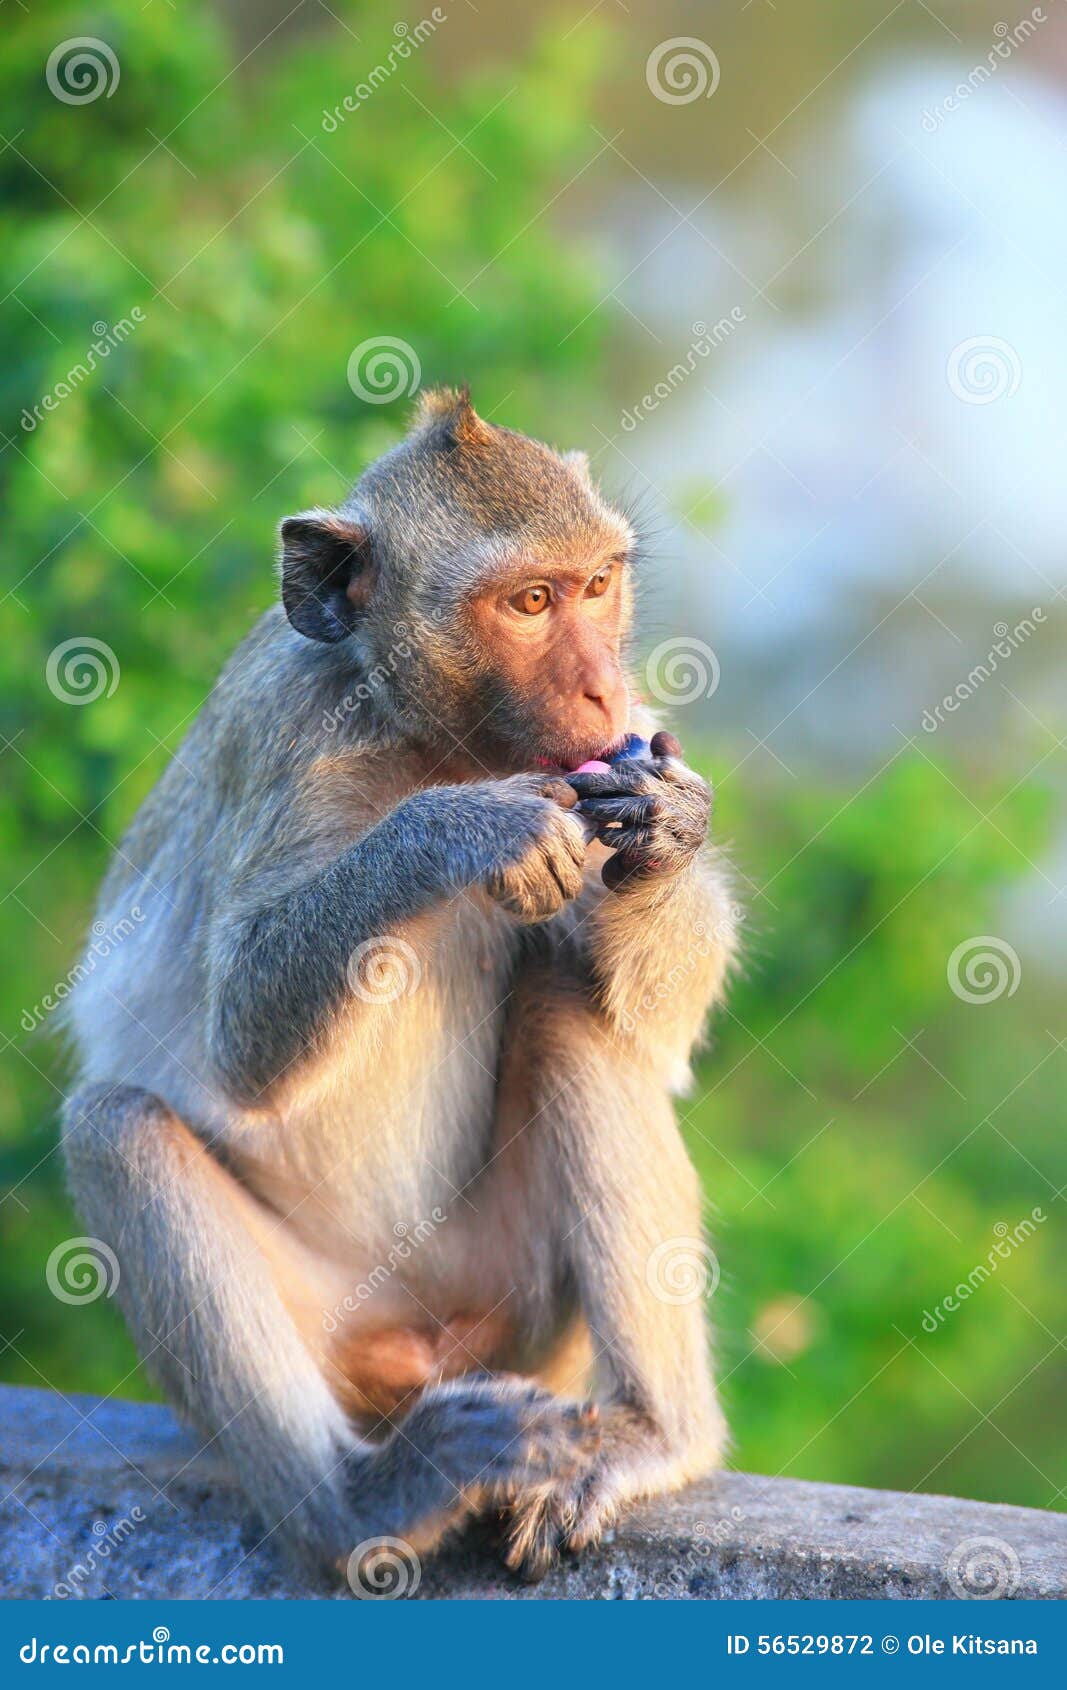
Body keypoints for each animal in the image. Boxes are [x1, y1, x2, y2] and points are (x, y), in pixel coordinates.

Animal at [60, 388, 739, 1587]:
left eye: (597, 585)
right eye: (527, 602)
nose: (599, 683)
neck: (431, 736)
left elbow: (654, 1032)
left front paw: (669, 826)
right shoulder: (290, 743)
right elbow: (240, 1046)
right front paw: (458, 831)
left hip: (523, 1309)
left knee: (572, 1010)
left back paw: (655, 1438)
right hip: (336, 1328)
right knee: (115, 1132)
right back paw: (359, 1503)